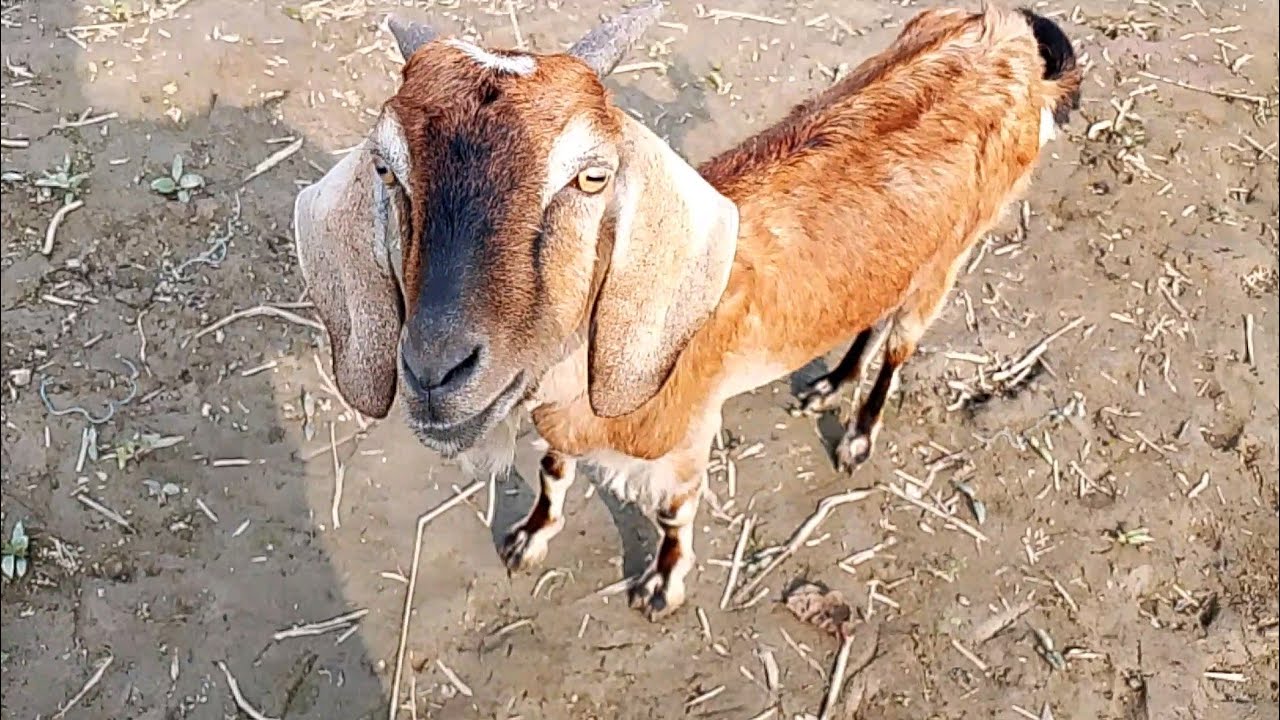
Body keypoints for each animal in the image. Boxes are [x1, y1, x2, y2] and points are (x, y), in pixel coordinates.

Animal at [293, 1, 1081, 620]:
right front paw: (528, 537)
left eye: (593, 176)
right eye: (386, 167)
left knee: (900, 344)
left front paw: (660, 587)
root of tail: (1012, 34)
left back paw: (856, 435)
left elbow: (673, 511)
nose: (435, 371)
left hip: (955, 250)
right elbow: (552, 470)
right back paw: (827, 384)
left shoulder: (686, 435)